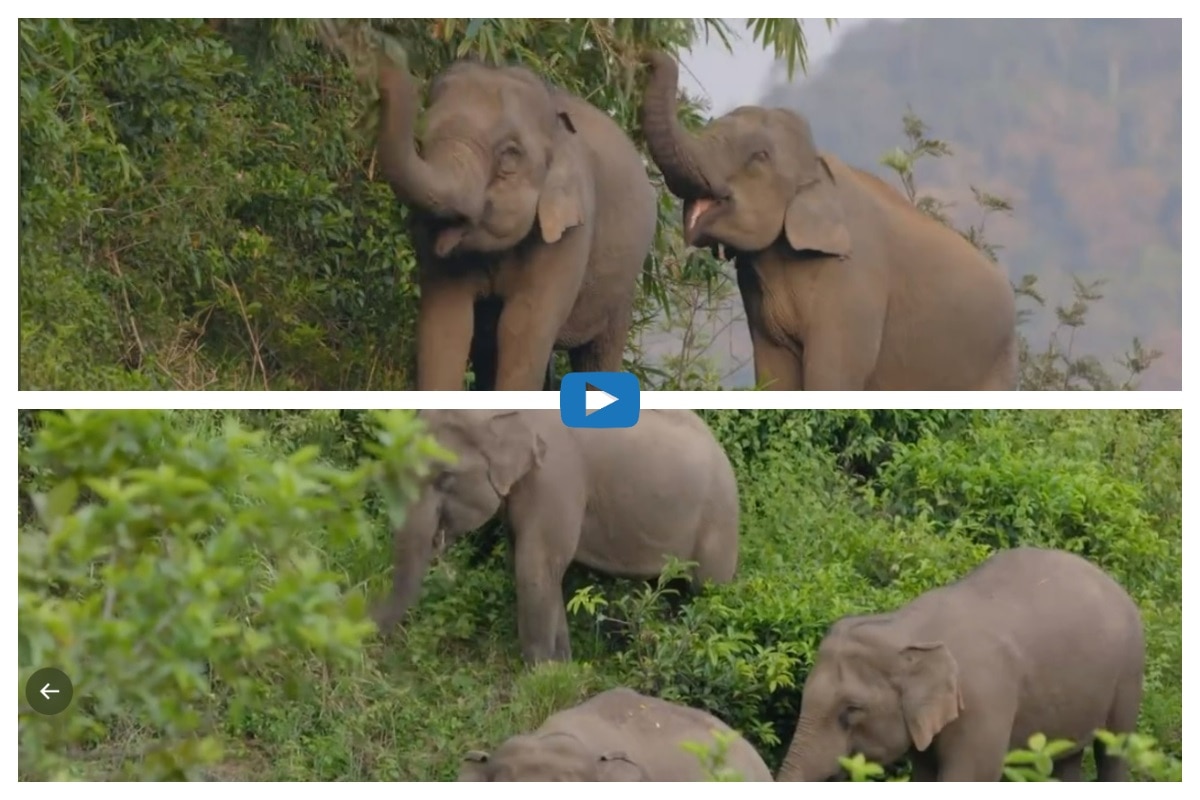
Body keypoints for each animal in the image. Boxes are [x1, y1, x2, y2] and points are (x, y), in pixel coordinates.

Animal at [372, 409, 741, 664]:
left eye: (445, 477)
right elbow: (536, 566)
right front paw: (562, 666)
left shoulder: (557, 477)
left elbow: (535, 564)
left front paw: (539, 671)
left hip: (719, 522)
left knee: (707, 591)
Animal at [375, 57, 658, 391]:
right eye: (420, 142)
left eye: (510, 155)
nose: (386, 69)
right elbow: (447, 325)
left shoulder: (570, 234)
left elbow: (522, 328)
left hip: (622, 289)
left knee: (598, 355)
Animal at [638, 51, 1018, 391]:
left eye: (758, 157)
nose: (648, 55)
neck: (817, 167)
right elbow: (775, 374)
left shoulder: (853, 282)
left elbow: (832, 377)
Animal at [776, 546, 1145, 781]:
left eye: (852, 709)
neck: (905, 629)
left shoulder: (985, 699)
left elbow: (972, 775)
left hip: (1129, 670)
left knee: (1114, 752)